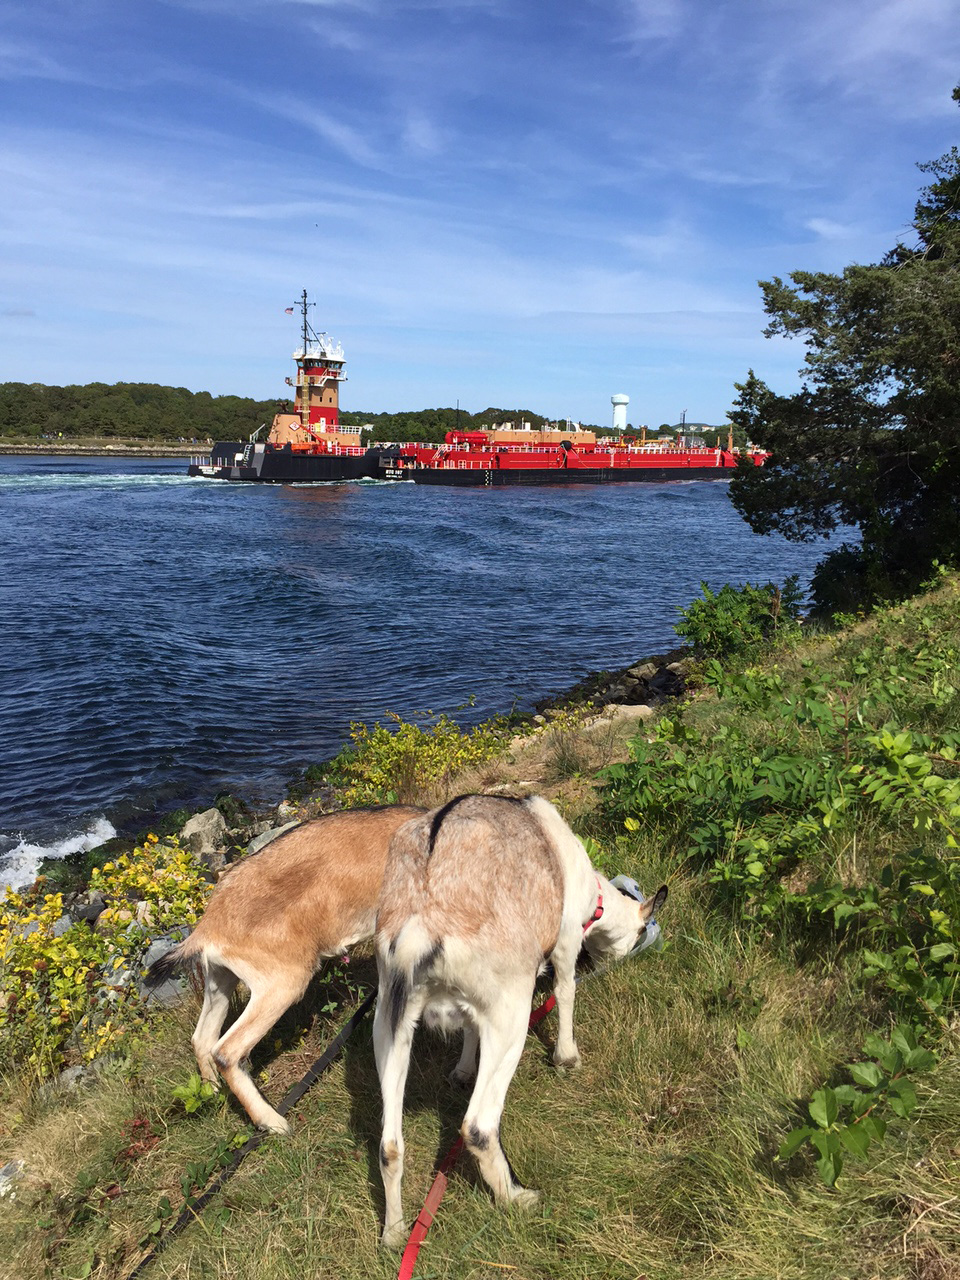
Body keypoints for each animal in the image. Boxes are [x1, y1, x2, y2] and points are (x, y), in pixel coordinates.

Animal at [146, 805, 432, 1134]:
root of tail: (210, 925)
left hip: (220, 978)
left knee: (202, 1039)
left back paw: (212, 1091)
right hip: (282, 983)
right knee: (226, 1052)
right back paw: (271, 1121)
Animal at [373, 793, 667, 1247]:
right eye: (638, 933)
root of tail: (419, 926)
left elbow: (469, 1030)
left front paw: (462, 1070)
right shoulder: (565, 938)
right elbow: (566, 989)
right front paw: (567, 1057)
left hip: (389, 1015)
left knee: (389, 1145)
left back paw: (394, 1232)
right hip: (512, 1007)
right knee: (478, 1126)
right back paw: (516, 1197)